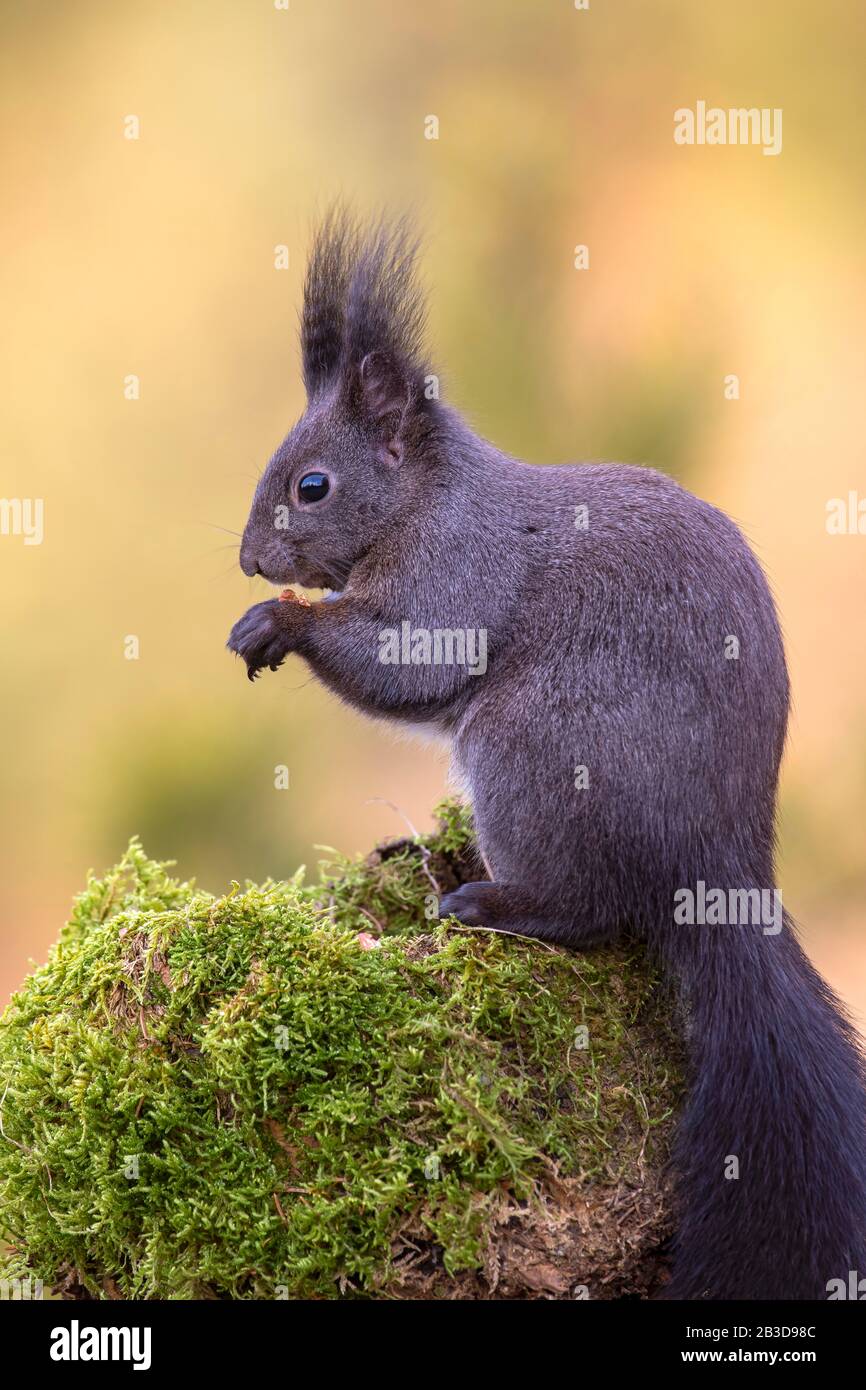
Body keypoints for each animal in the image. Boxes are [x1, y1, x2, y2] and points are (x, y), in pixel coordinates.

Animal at [228, 209, 866, 1300]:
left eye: (312, 486)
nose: (248, 560)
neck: (423, 501)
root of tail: (713, 863)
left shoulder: (457, 573)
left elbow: (411, 657)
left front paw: (284, 620)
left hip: (531, 751)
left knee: (591, 910)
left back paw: (491, 902)